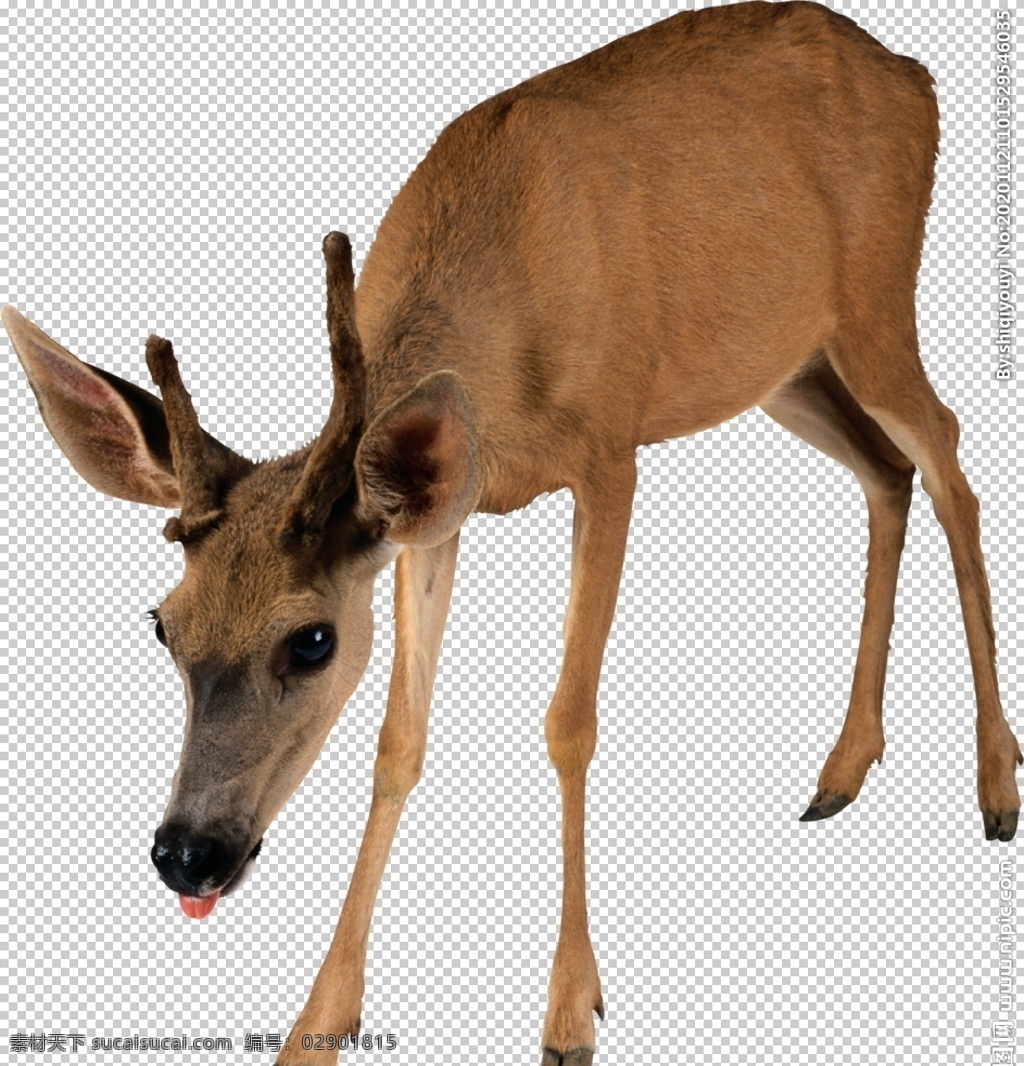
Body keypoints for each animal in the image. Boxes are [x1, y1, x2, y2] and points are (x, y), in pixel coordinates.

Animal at [4, 2, 1019, 1063]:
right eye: (161, 625)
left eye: (310, 640)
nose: (187, 855)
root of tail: (913, 74)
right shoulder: (431, 524)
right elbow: (399, 739)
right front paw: (319, 1018)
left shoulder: (610, 450)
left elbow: (570, 720)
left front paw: (569, 1011)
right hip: (787, 362)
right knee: (888, 472)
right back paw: (843, 769)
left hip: (876, 304)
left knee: (950, 456)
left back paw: (996, 784)